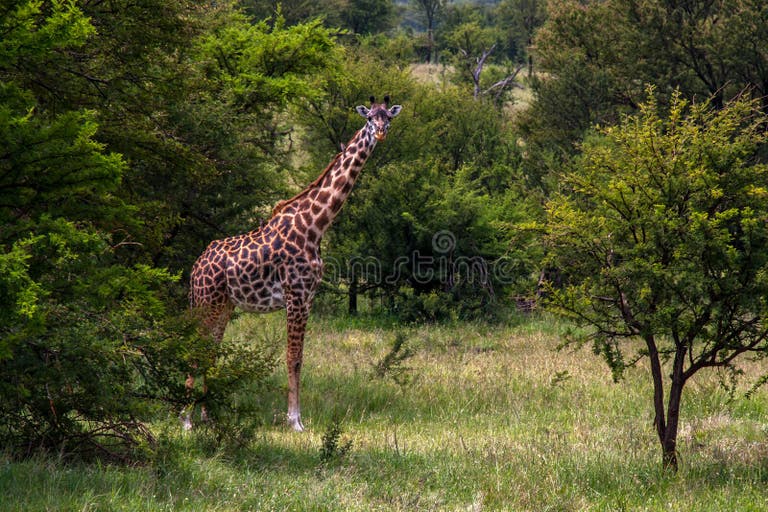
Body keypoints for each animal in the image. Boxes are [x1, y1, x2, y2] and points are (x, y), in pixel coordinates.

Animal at [188, 96, 402, 431]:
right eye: (369, 119)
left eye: (388, 118)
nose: (380, 133)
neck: (316, 225)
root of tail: (196, 267)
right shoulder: (296, 295)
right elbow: (293, 357)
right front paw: (295, 421)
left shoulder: (309, 296)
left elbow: (300, 357)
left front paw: (295, 418)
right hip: (206, 301)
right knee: (195, 349)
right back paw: (184, 420)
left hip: (224, 304)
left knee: (210, 350)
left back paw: (207, 417)